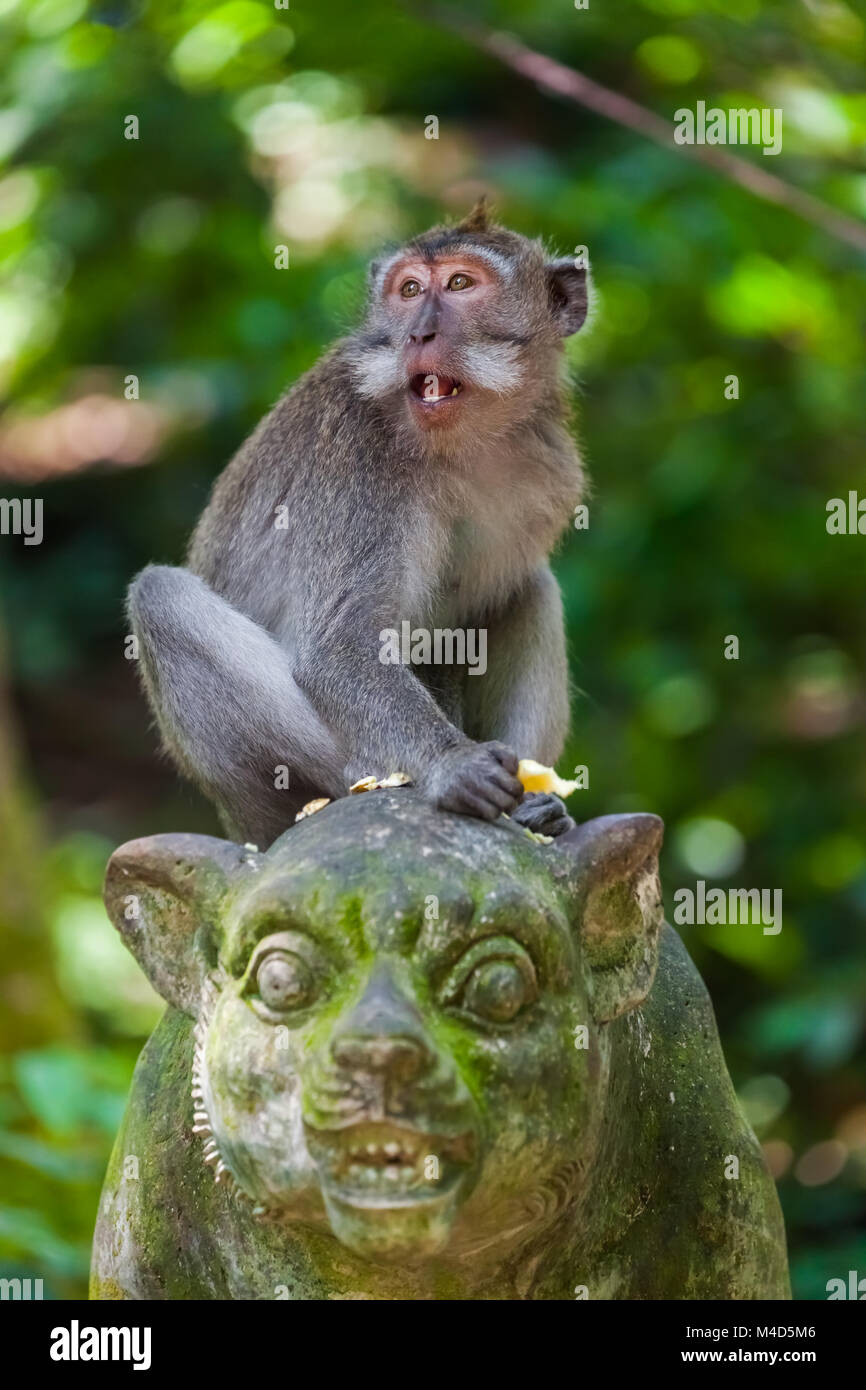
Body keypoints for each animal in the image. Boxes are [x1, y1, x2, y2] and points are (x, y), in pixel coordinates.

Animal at [127, 201, 590, 849]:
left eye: (460, 284)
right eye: (410, 290)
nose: (419, 333)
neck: (460, 446)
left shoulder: (549, 473)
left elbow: (461, 628)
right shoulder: (359, 456)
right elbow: (340, 646)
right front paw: (451, 762)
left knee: (527, 589)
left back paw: (538, 810)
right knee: (160, 595)